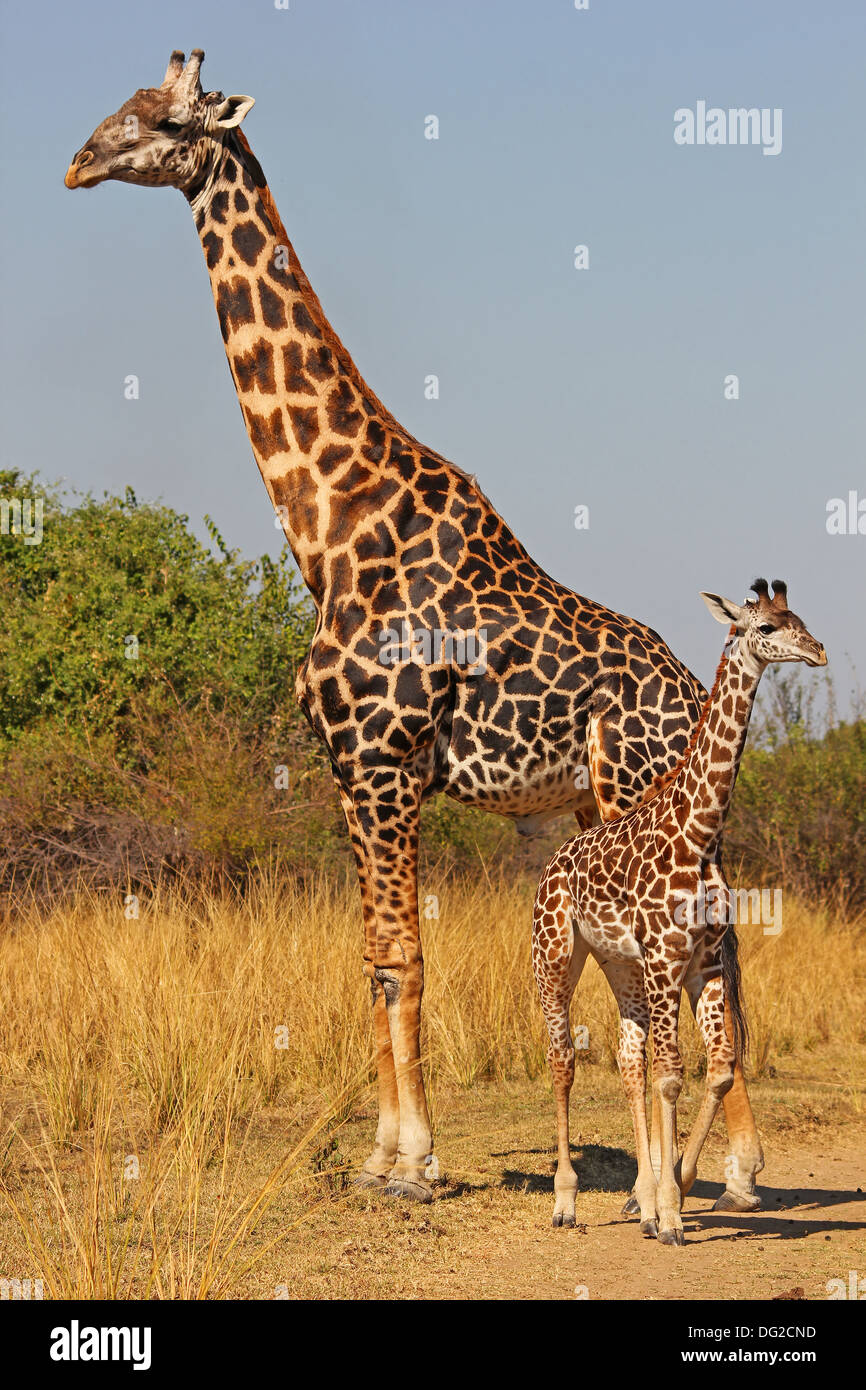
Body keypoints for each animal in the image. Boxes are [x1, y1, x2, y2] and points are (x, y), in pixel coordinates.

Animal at [66, 49, 762, 1206]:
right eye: (120, 104)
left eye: (162, 120)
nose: (76, 162)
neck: (329, 524)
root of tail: (693, 687)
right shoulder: (350, 771)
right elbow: (373, 961)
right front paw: (381, 1154)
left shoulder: (388, 764)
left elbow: (405, 958)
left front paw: (415, 1162)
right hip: (597, 811)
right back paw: (692, 1170)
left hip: (641, 793)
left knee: (715, 950)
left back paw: (736, 1170)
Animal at [532, 579, 826, 1242]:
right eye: (765, 627)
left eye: (799, 618)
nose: (817, 650)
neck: (700, 832)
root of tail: (553, 859)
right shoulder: (668, 956)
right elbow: (672, 1074)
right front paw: (669, 1215)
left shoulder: (705, 962)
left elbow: (715, 1070)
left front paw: (676, 1190)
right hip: (556, 956)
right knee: (563, 1059)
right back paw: (566, 1202)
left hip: (622, 967)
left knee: (627, 1059)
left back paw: (641, 1198)